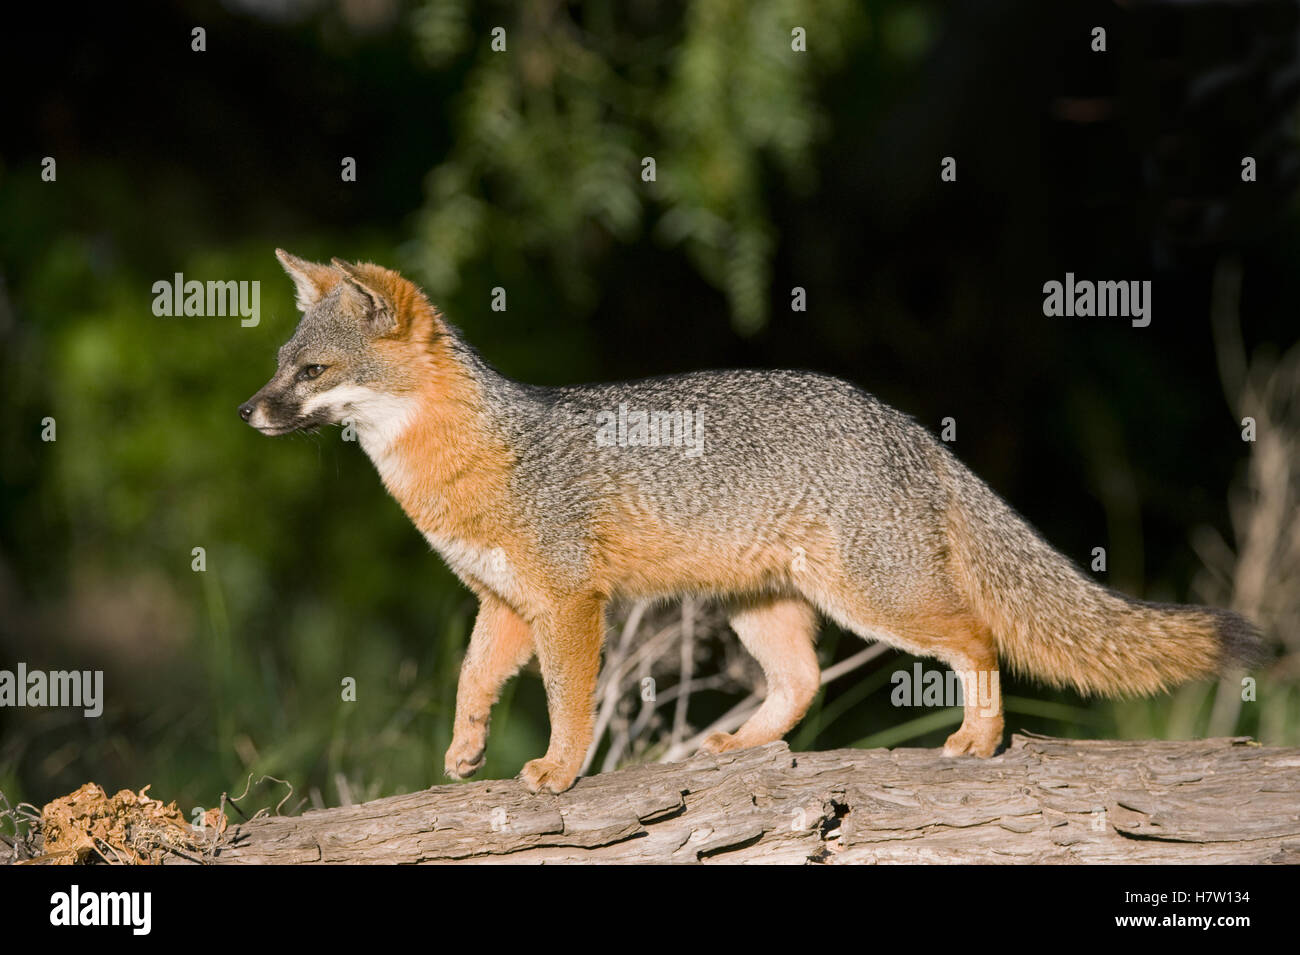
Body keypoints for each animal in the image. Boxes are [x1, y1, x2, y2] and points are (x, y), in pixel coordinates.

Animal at [240, 250, 1263, 794]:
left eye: (311, 373)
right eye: (281, 365)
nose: (249, 411)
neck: (474, 456)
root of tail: (904, 423)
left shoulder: (570, 603)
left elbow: (569, 702)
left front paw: (560, 772)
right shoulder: (504, 603)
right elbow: (470, 681)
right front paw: (464, 749)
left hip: (876, 599)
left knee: (977, 636)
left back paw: (977, 737)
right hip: (762, 608)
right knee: (802, 684)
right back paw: (741, 746)